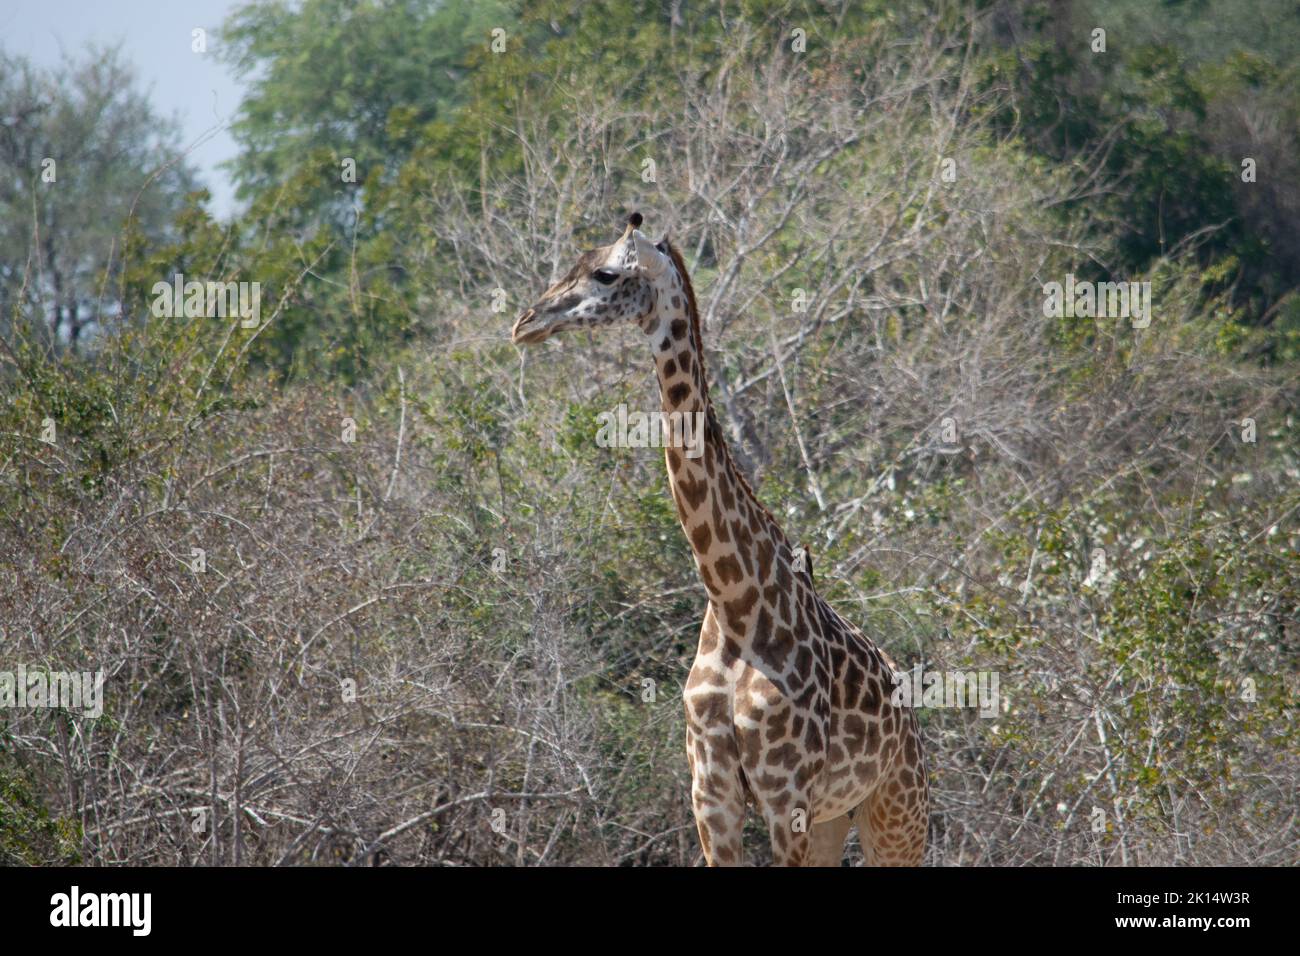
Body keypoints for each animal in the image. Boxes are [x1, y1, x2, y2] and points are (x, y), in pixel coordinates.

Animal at [511, 213, 928, 866]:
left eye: (605, 273)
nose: (525, 323)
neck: (735, 601)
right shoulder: (711, 793)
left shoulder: (785, 796)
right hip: (837, 816)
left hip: (896, 811)